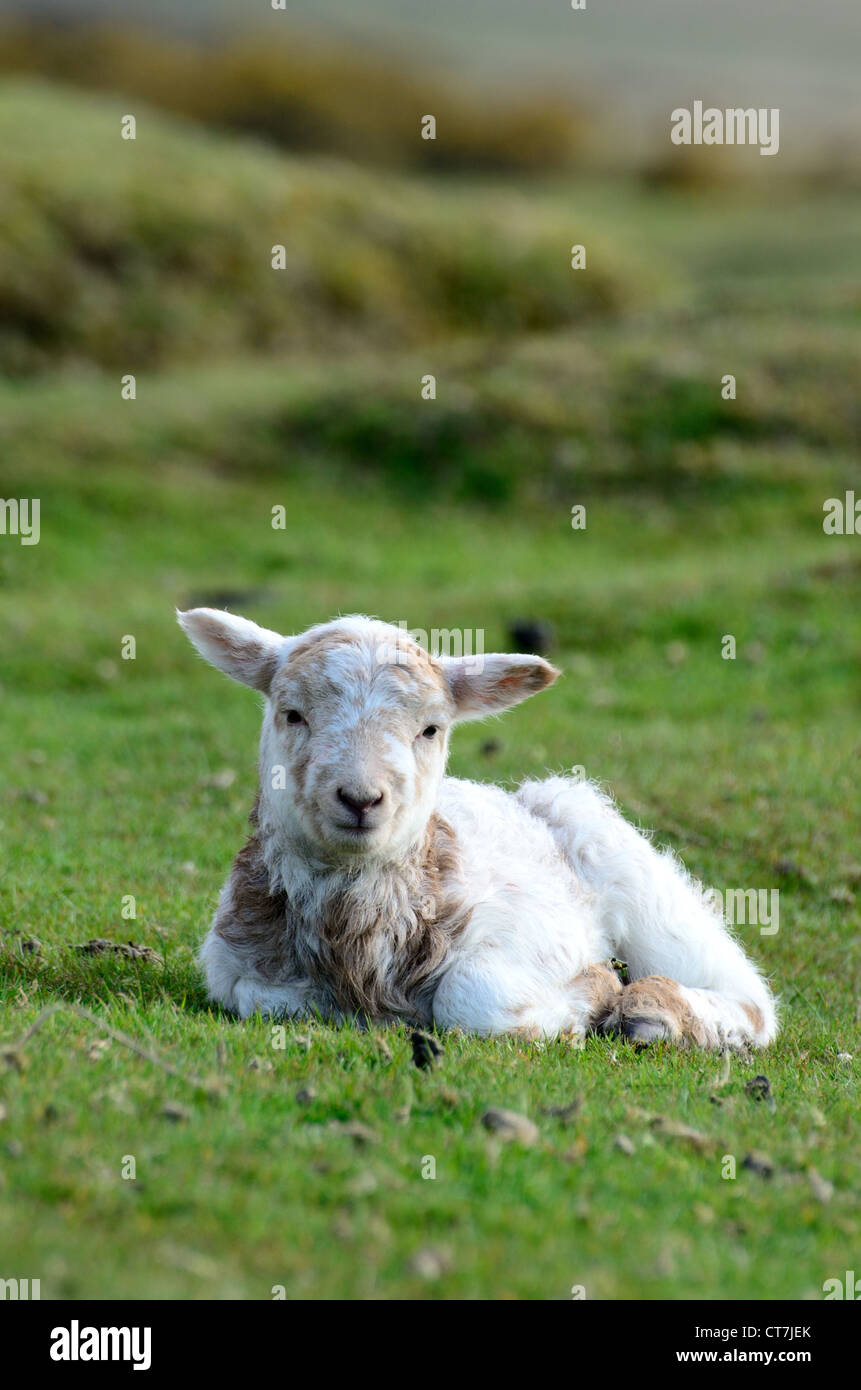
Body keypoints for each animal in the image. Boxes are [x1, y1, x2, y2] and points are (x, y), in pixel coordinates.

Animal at [178, 608, 778, 1049]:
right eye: (292, 714)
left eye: (430, 729)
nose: (361, 799)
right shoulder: (238, 969)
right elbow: (264, 997)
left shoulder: (531, 935)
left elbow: (471, 997)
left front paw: (596, 990)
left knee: (749, 999)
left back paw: (653, 1010)